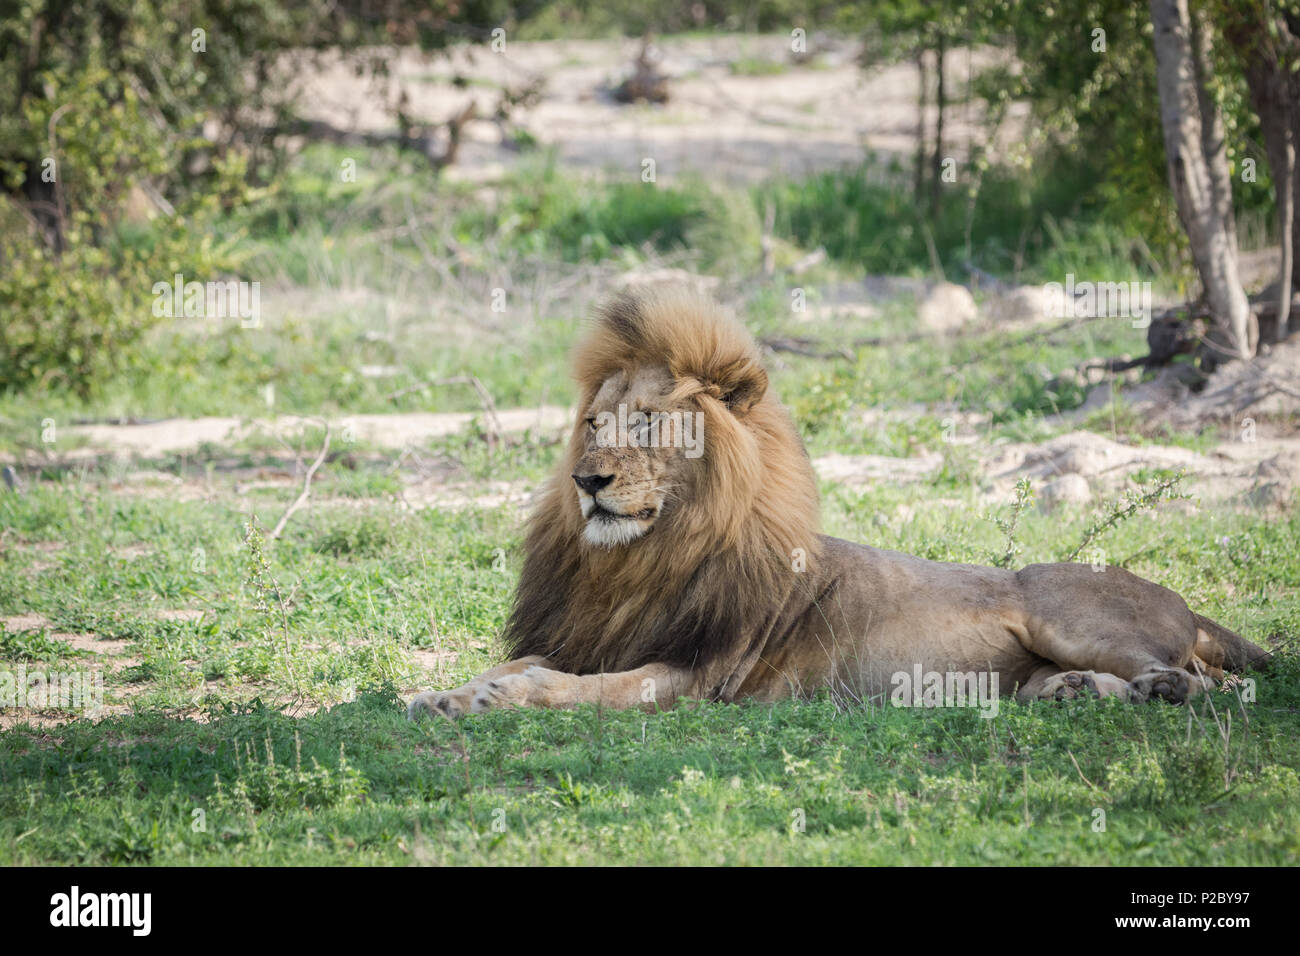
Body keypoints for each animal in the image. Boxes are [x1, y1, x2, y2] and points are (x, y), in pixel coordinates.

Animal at [408, 287, 1270, 719]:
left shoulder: (699, 676)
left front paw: (506, 695)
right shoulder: (594, 633)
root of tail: (1184, 601)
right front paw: (442, 692)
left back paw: (1153, 688)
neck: (642, 561)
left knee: (1210, 683)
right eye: (592, 425)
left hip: (1074, 617)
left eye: (647, 422)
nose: (588, 481)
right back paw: (1073, 693)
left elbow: (580, 688)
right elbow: (518, 659)